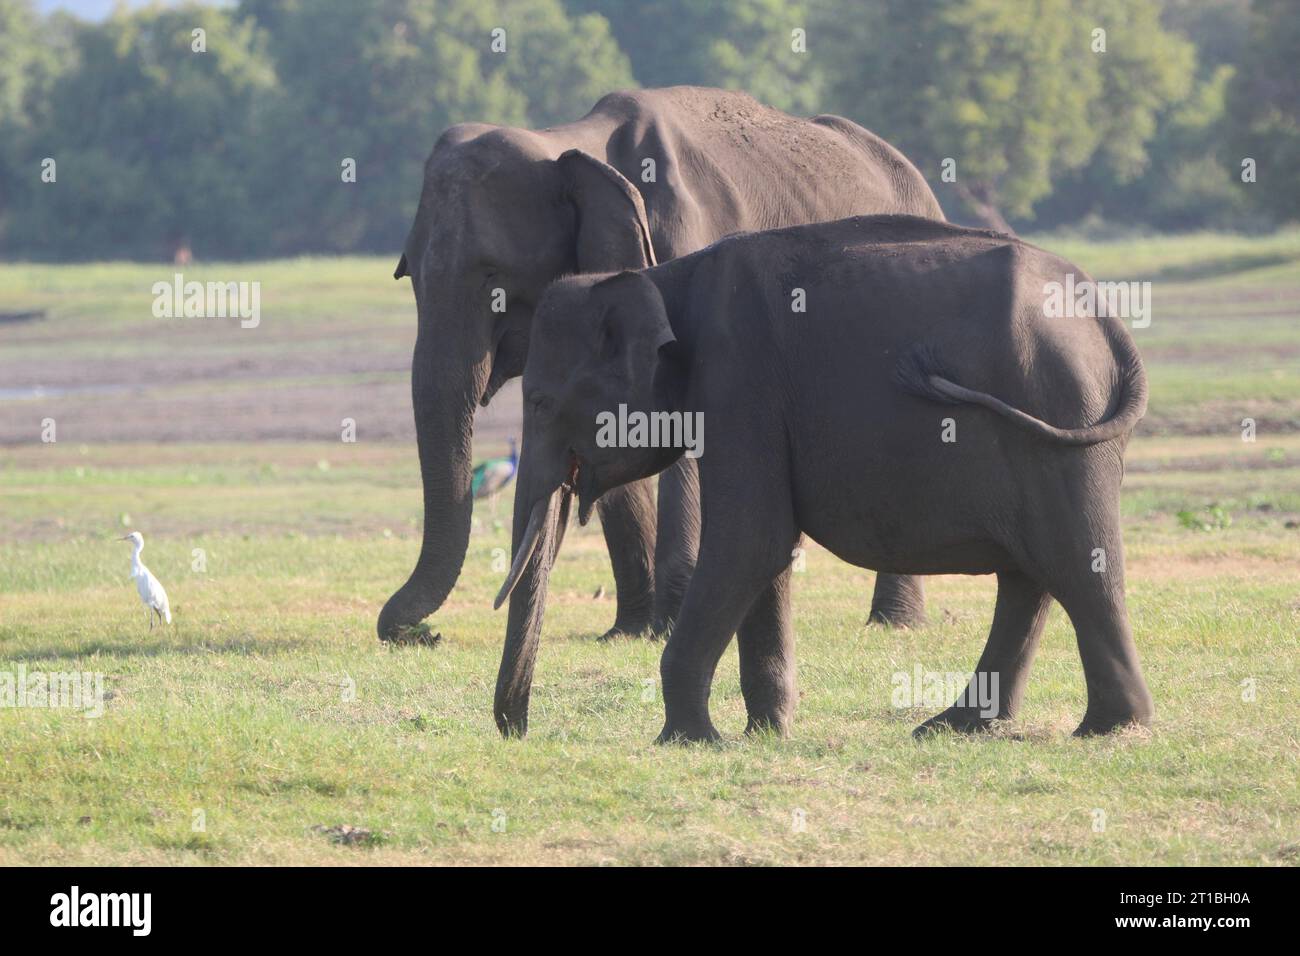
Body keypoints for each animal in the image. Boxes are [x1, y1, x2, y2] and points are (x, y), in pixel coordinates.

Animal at [378, 86, 943, 646]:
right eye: (408, 275)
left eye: (492, 276)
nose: (424, 634)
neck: (570, 143)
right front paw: (627, 630)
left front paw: (667, 623)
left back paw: (893, 620)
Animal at [494, 214, 1155, 742]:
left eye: (540, 403)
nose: (518, 732)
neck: (665, 278)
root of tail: (1106, 319)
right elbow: (767, 550)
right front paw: (765, 733)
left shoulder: (738, 381)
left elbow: (749, 541)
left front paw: (688, 741)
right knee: (1030, 573)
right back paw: (953, 727)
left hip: (1062, 413)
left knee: (1074, 562)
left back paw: (1107, 728)